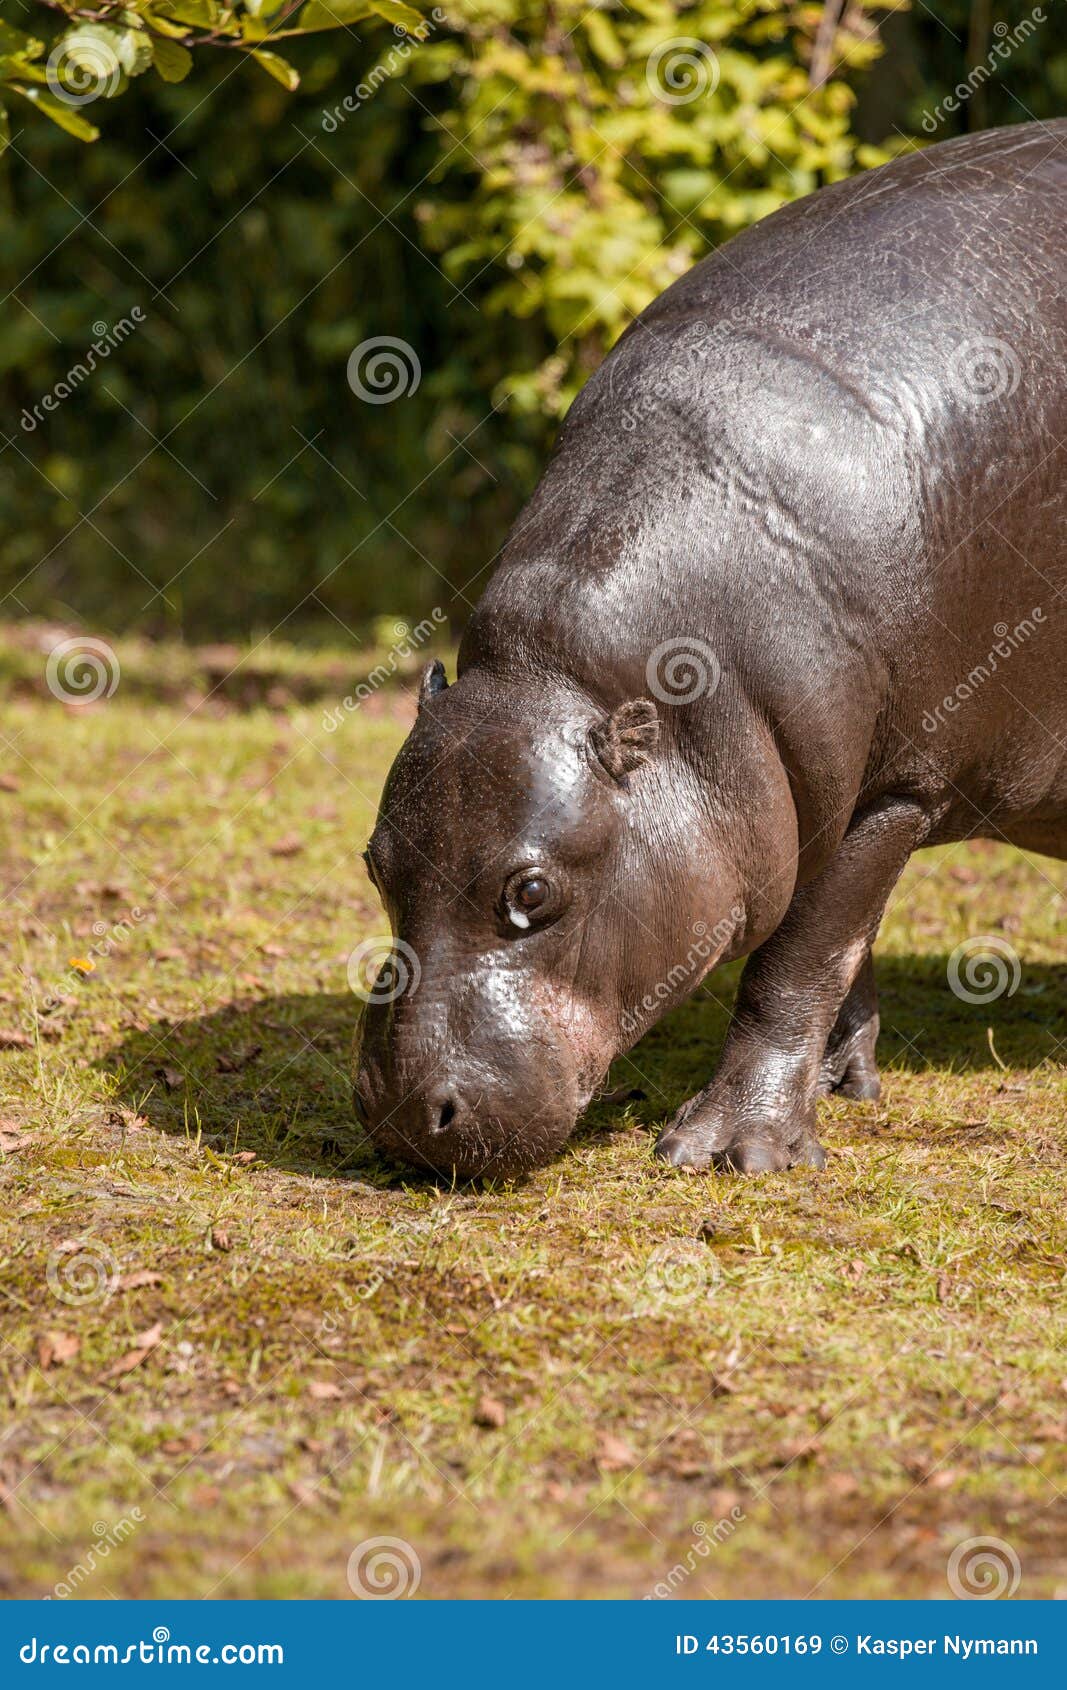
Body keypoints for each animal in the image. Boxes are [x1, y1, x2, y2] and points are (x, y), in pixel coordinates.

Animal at [355, 120, 1067, 1180]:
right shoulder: (817, 792)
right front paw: (839, 1085)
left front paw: (733, 1151)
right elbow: (844, 951)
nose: (404, 1117)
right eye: (372, 864)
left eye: (532, 890)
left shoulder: (895, 789)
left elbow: (798, 960)